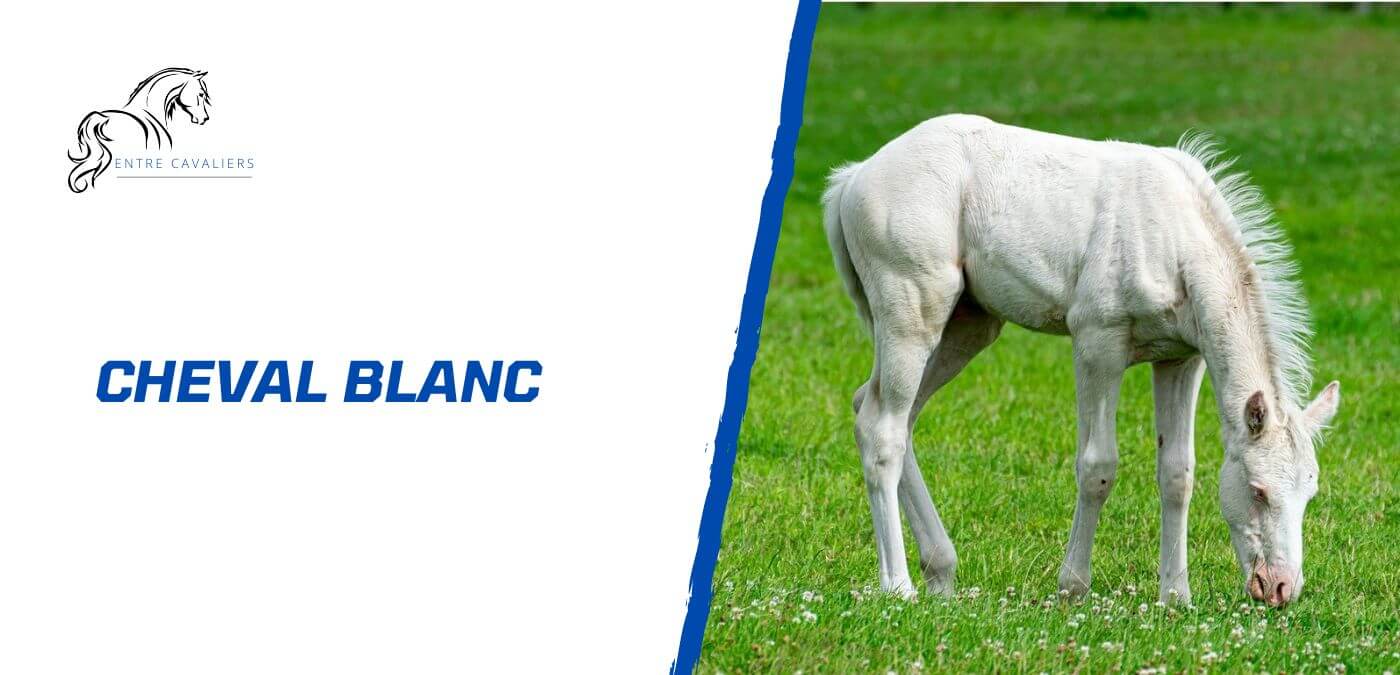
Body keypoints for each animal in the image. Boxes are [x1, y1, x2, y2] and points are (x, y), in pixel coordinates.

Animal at [822, 114, 1340, 607]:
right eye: (1258, 490)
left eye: (1310, 492)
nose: (1280, 588)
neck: (1175, 240)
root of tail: (853, 177)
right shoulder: (1097, 342)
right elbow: (1097, 467)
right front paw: (1072, 587)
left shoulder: (1180, 358)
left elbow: (1178, 473)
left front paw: (1176, 597)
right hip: (912, 313)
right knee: (882, 428)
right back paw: (899, 586)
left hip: (969, 325)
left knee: (882, 409)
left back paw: (941, 572)